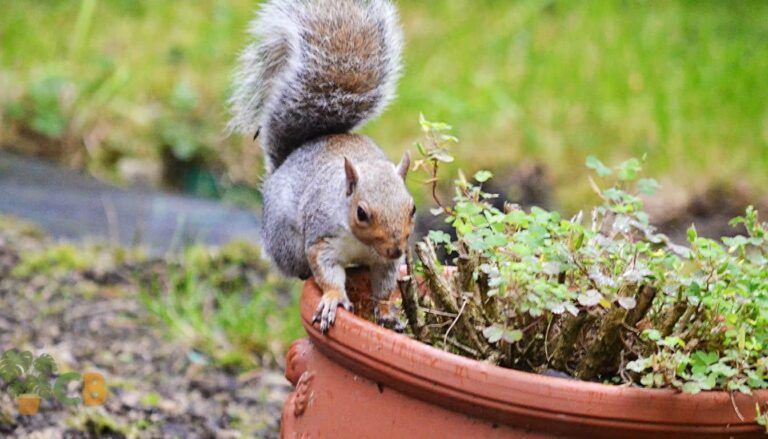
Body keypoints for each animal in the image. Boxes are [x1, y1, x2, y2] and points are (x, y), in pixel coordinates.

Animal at [229, 0, 414, 333]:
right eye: (362, 213)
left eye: (413, 208)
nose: (396, 248)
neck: (361, 243)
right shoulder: (321, 239)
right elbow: (327, 273)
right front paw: (333, 300)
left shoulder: (386, 262)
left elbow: (384, 286)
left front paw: (386, 312)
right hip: (286, 241)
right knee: (299, 268)